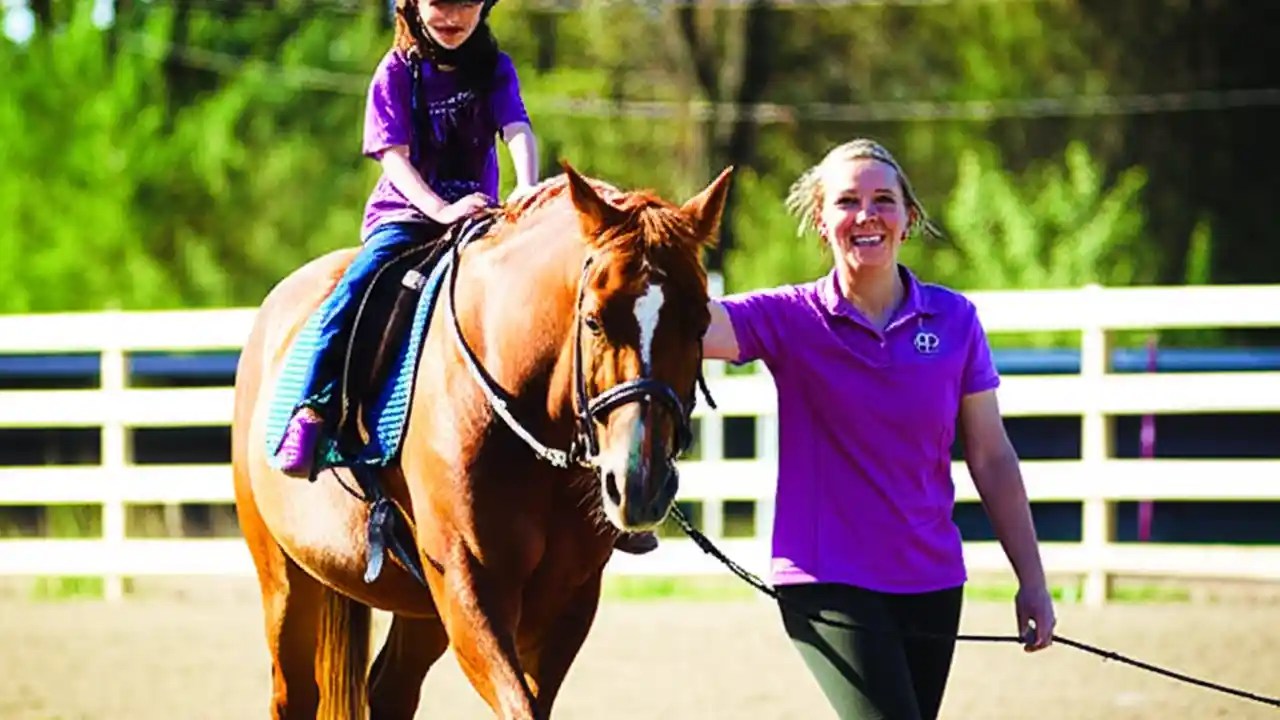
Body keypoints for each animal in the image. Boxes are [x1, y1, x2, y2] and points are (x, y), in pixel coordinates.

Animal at [230, 163, 733, 719]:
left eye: (701, 324)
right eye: (594, 320)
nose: (638, 483)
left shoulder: (570, 600)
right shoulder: (470, 590)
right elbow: (519, 706)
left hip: (422, 610)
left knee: (389, 691)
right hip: (287, 585)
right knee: (294, 693)